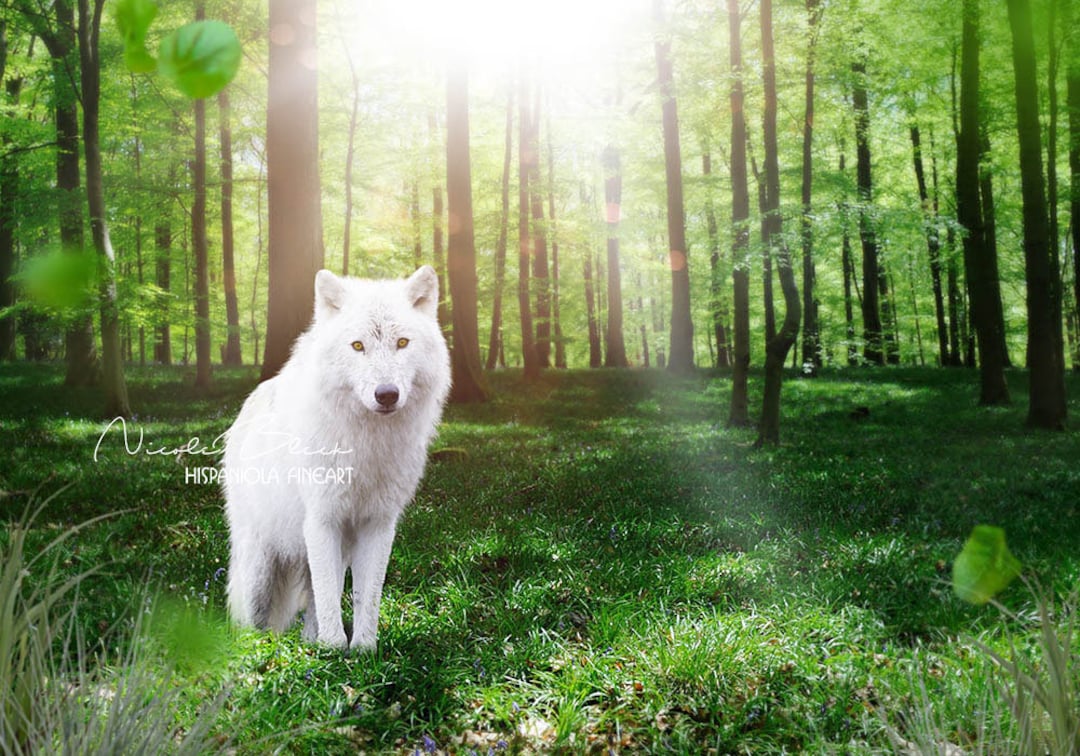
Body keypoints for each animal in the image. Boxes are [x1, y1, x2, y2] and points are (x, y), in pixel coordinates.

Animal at [222, 266, 450, 650]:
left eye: (402, 343)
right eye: (358, 346)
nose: (386, 395)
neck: (367, 446)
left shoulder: (378, 523)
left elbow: (366, 595)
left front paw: (363, 650)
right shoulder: (322, 519)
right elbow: (330, 594)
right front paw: (332, 648)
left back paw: (310, 642)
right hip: (261, 565)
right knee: (255, 620)